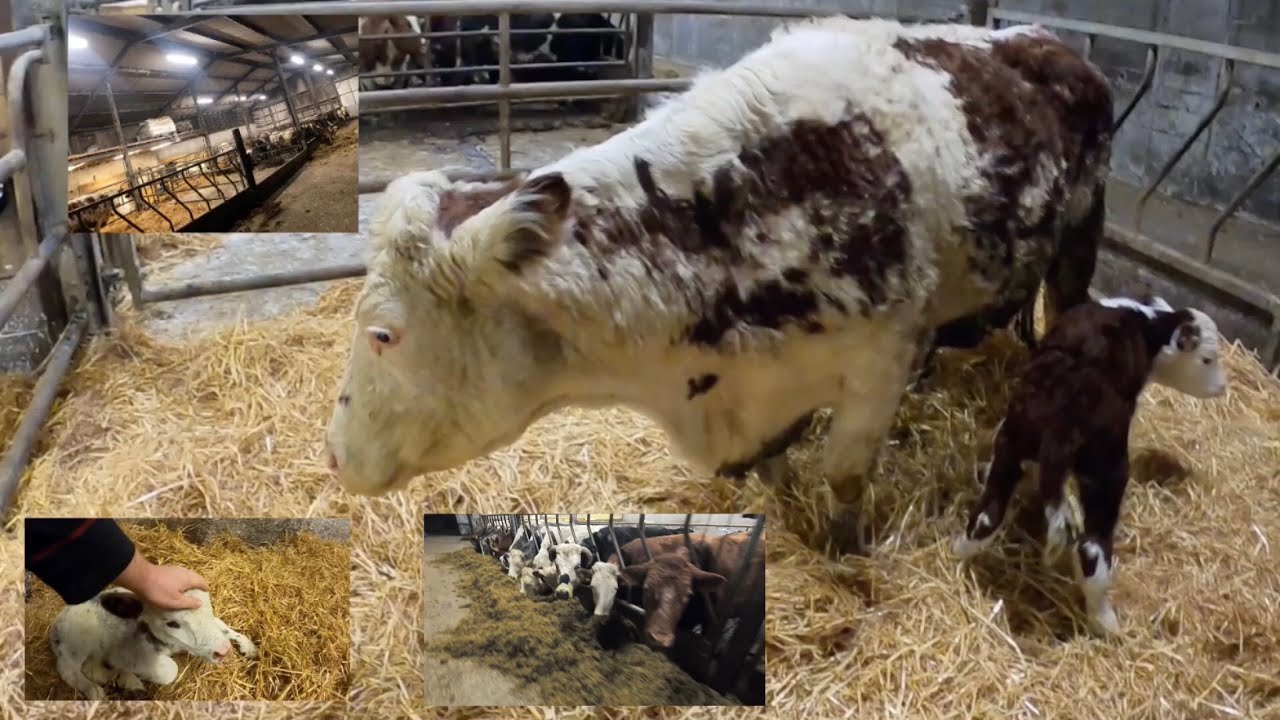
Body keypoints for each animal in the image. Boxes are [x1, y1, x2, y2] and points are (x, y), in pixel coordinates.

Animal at [49, 588, 256, 700]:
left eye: (208, 606)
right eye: (172, 623)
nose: (223, 651)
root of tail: (56, 625)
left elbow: (220, 624)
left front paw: (247, 645)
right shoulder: (128, 653)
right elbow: (170, 670)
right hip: (79, 642)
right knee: (69, 669)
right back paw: (96, 691)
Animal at [325, 17, 1114, 557]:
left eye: (384, 335)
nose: (333, 456)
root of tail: (1049, 41)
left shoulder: (880, 362)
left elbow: (844, 476)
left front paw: (844, 547)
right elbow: (774, 469)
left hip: (1080, 239)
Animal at [953, 295, 1227, 636]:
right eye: (1207, 359)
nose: (1222, 387)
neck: (1146, 323)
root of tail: (1070, 397)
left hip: (1013, 440)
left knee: (987, 516)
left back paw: (957, 555)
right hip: (1106, 473)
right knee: (1092, 550)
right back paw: (1106, 623)